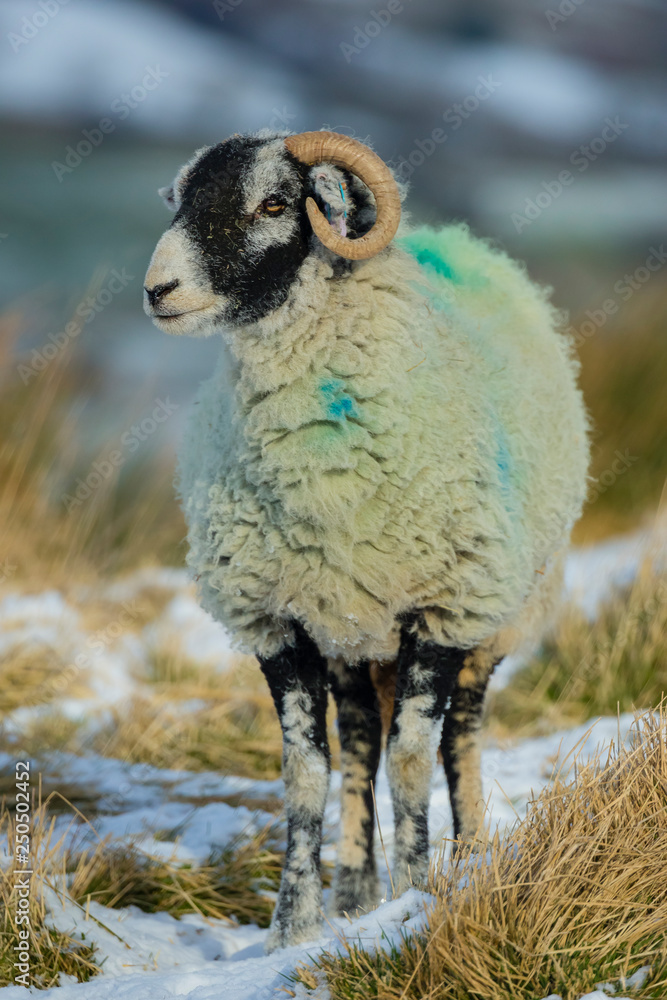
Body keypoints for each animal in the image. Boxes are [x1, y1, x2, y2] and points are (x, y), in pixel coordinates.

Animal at [143, 129, 590, 952]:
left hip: (497, 618)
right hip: (349, 628)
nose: (159, 290)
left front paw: (416, 896)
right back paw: (353, 892)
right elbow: (305, 772)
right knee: (356, 741)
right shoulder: (279, 621)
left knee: (456, 741)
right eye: (181, 201)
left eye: (274, 204)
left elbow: (413, 758)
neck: (323, 469)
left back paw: (467, 858)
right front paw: (294, 927)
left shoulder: (442, 608)